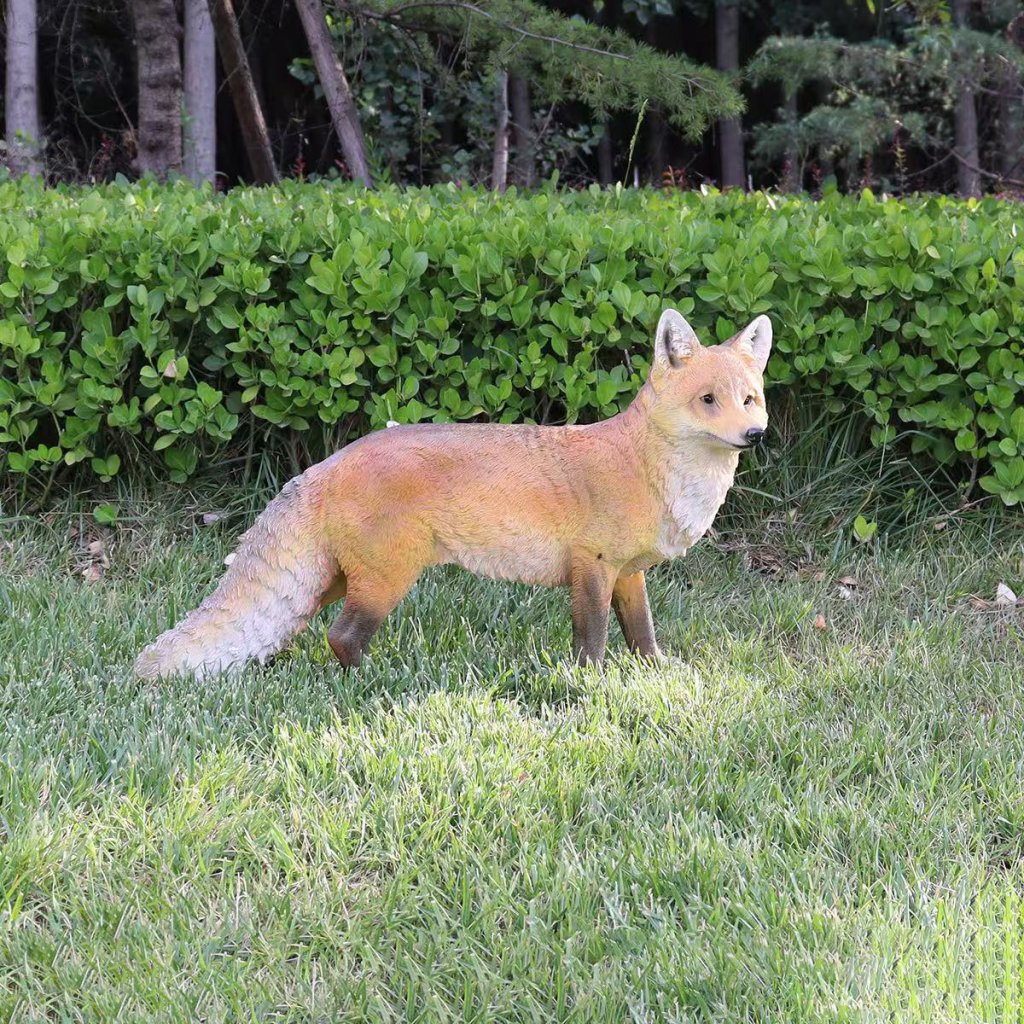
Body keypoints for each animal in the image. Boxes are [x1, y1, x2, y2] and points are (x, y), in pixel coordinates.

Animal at [134, 308, 771, 679]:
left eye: (749, 400)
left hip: (332, 579)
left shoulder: (627, 573)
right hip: (387, 580)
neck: (647, 469)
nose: (755, 435)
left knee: (300, 628)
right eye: (708, 400)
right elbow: (591, 640)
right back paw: (372, 679)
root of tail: (330, 461)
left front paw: (657, 672)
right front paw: (589, 686)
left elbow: (642, 634)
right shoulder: (590, 567)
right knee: (340, 637)